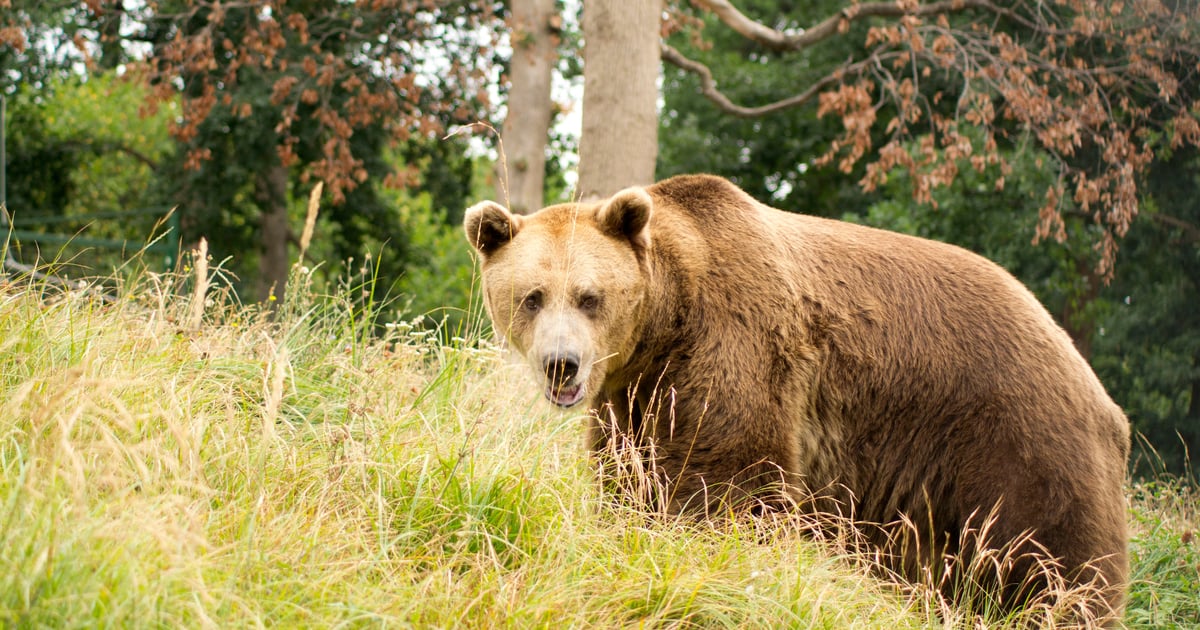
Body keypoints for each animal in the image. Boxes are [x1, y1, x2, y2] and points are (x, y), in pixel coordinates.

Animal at [463, 174, 1130, 621]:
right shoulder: (635, 396)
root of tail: (1088, 376)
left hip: (1016, 439)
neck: (667, 321)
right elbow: (629, 478)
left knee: (1057, 563)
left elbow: (728, 484)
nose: (562, 364)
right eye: (531, 296)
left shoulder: (736, 347)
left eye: (589, 296)